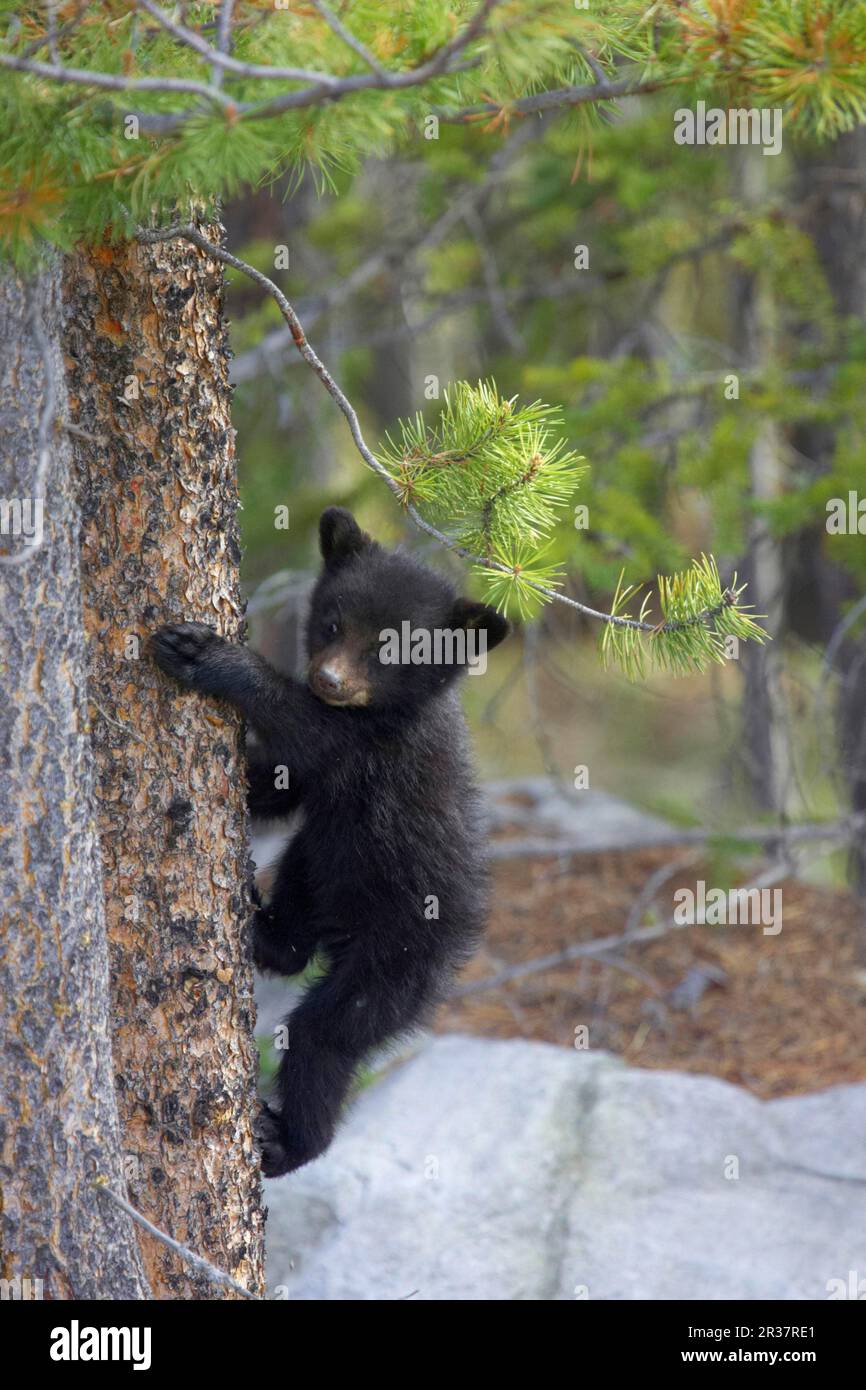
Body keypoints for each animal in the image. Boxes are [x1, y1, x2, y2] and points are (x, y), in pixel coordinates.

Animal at [151, 507, 509, 1176]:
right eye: (333, 622)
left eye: (391, 646)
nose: (328, 678)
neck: (384, 712)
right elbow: (281, 783)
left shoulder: (374, 749)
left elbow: (304, 729)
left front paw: (207, 654)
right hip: (325, 867)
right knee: (299, 901)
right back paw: (267, 932)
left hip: (396, 961)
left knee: (327, 1034)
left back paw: (288, 1140)